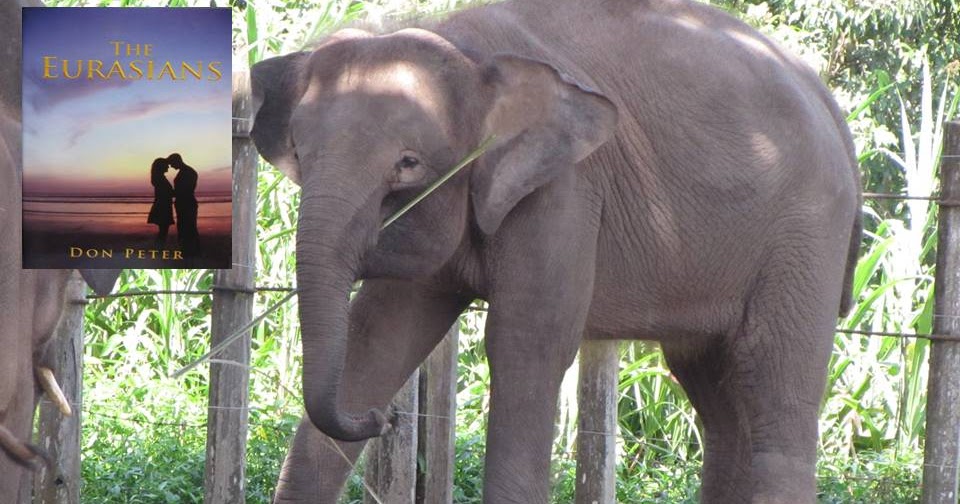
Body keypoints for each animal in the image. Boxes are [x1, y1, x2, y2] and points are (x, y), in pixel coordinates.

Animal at [251, 0, 861, 502]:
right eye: (298, 153)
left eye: (408, 164)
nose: (381, 419)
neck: (470, 49)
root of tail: (829, 103)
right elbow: (377, 334)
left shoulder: (566, 188)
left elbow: (528, 339)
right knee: (714, 390)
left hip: (808, 233)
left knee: (773, 380)